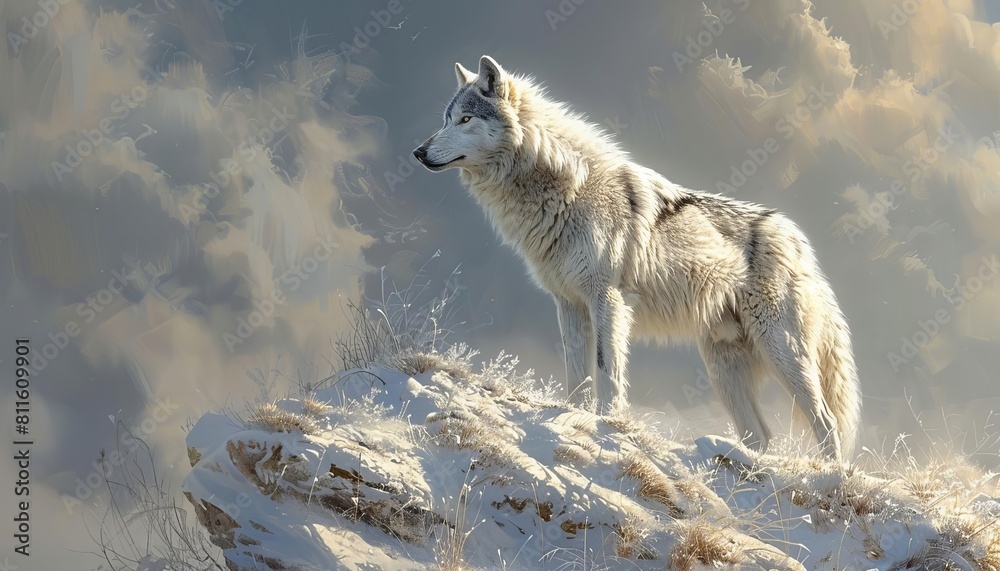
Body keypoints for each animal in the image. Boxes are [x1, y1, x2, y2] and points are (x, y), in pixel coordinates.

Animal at [413, 56, 861, 462]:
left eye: (466, 120)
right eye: (446, 119)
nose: (418, 152)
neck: (566, 189)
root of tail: (799, 241)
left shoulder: (607, 300)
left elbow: (607, 371)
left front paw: (605, 422)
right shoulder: (569, 303)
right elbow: (576, 375)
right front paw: (570, 417)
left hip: (781, 351)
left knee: (825, 421)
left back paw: (829, 475)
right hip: (723, 366)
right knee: (760, 435)